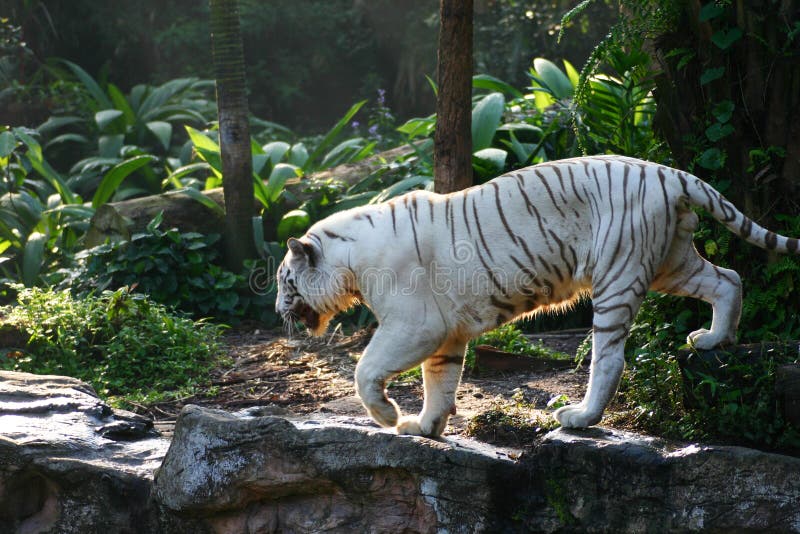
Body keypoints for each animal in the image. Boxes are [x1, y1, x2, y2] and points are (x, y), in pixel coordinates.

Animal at [275, 155, 799, 437]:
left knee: (610, 358)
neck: (349, 262)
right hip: (671, 260)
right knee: (728, 277)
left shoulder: (415, 325)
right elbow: (439, 383)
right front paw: (425, 426)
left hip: (617, 273)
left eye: (284, 281)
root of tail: (668, 173)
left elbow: (366, 370)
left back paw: (581, 417)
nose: (278, 310)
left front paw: (387, 416)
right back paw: (714, 340)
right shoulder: (445, 334)